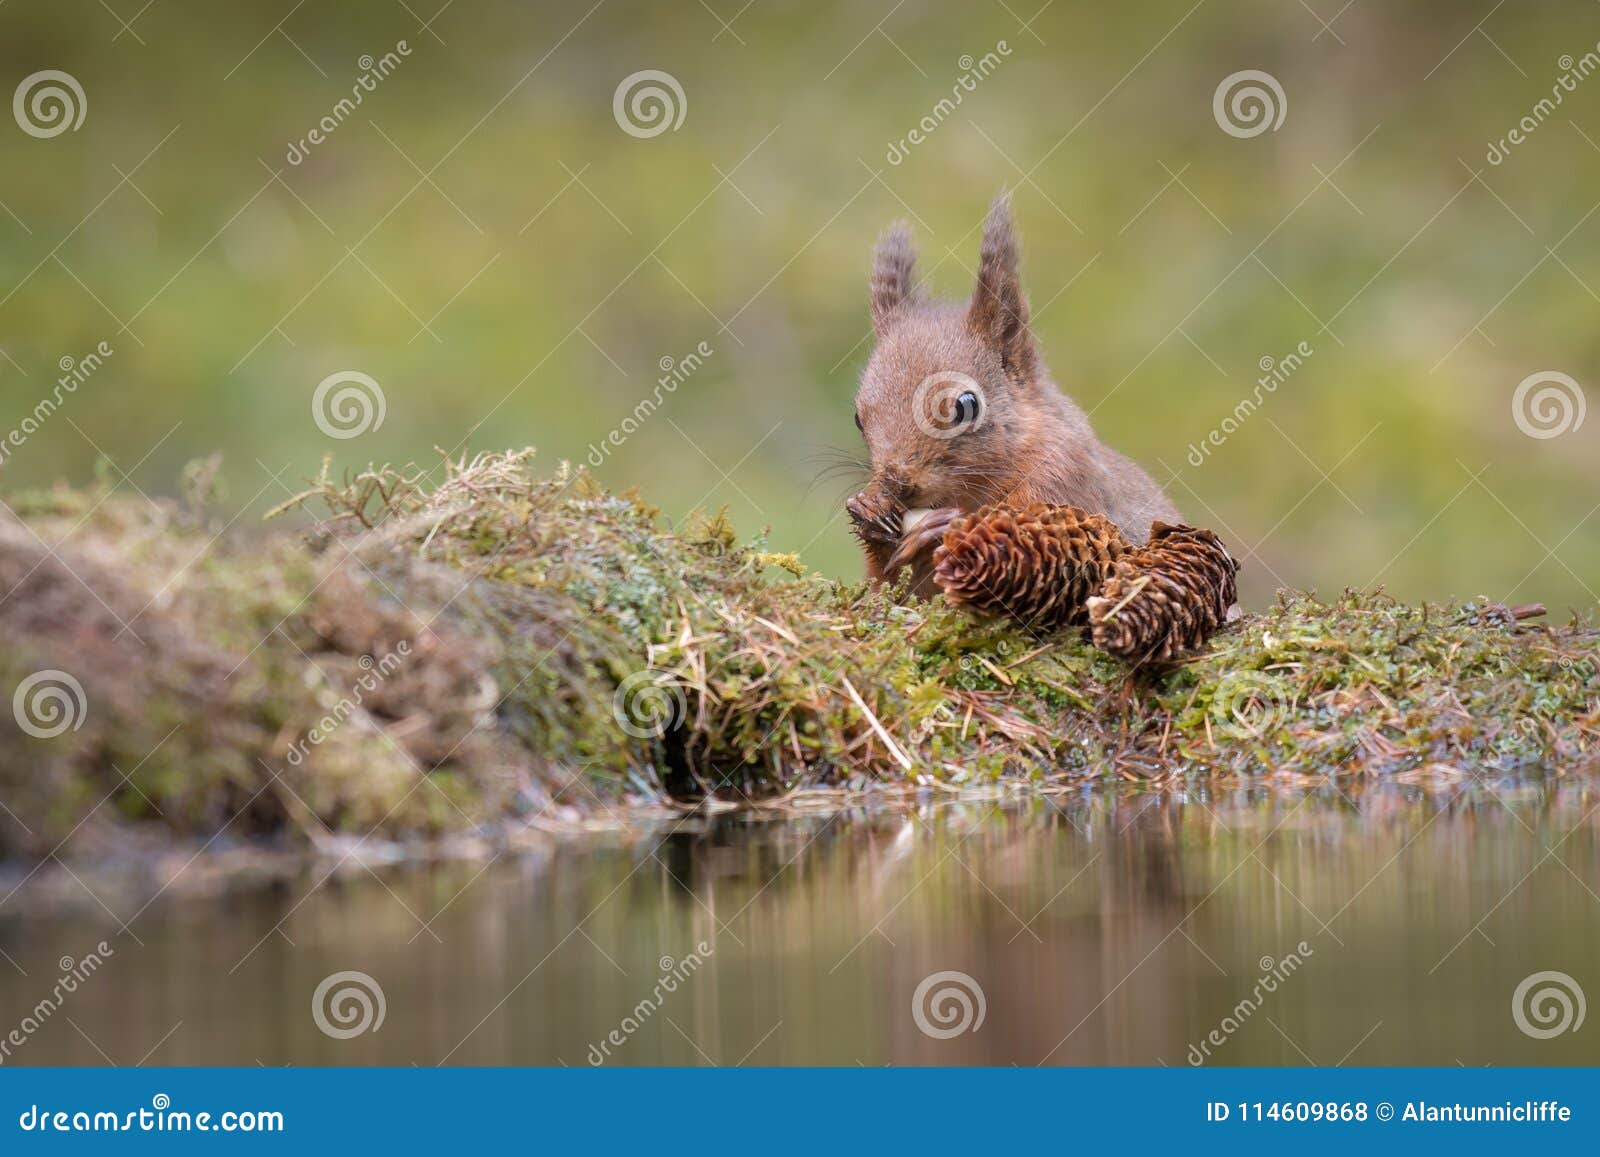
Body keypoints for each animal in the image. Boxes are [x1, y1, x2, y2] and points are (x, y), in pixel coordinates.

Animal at [846, 194, 1181, 596]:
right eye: (858, 418)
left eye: (965, 405)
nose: (898, 484)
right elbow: (890, 587)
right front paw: (867, 511)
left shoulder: (1064, 479)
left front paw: (947, 524)